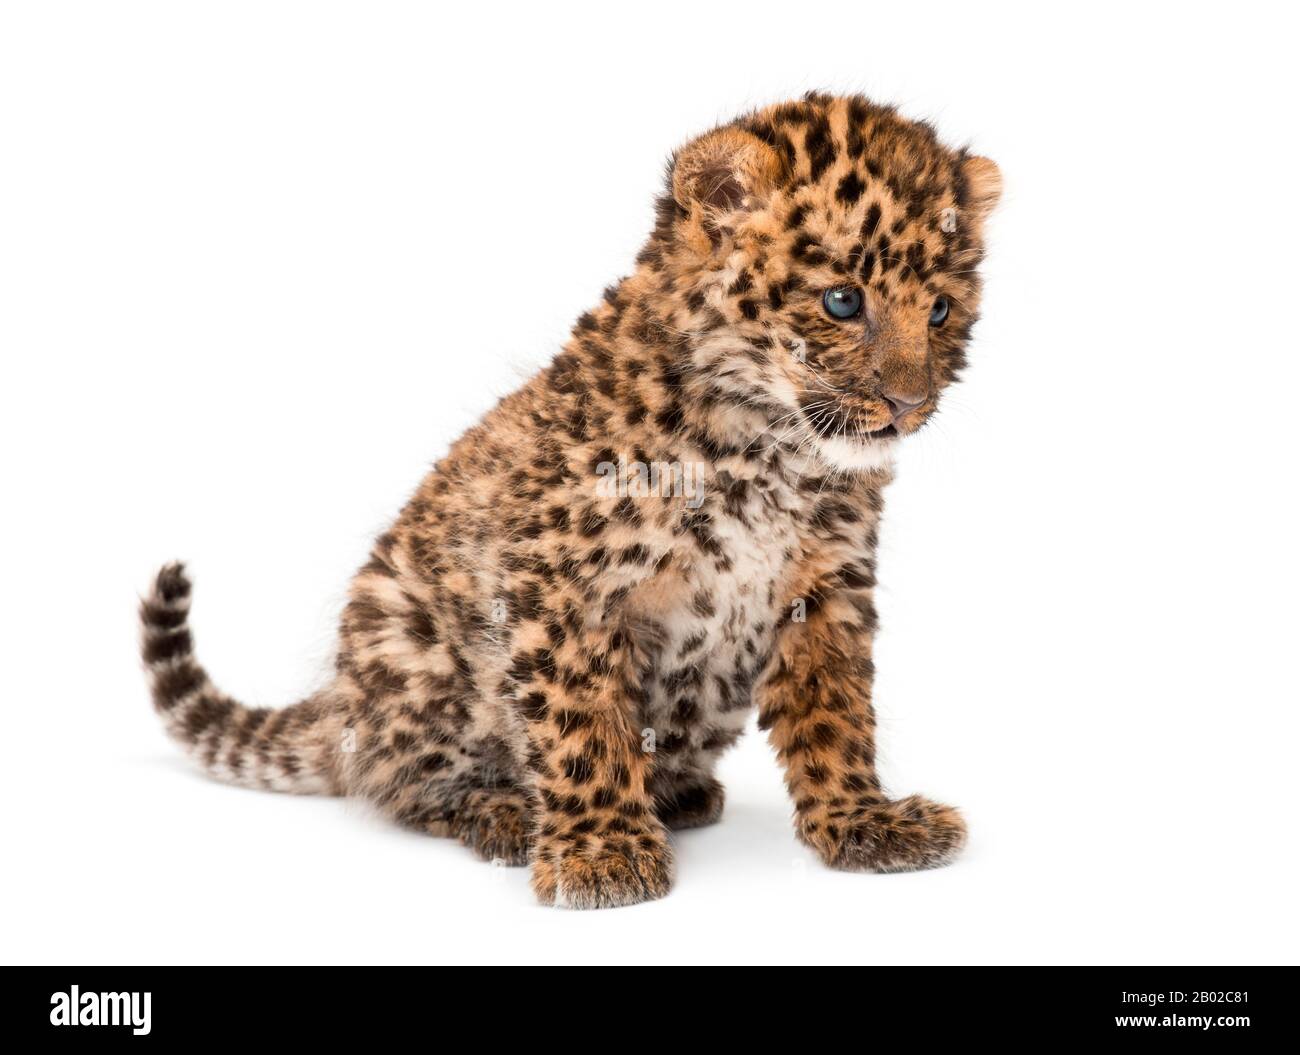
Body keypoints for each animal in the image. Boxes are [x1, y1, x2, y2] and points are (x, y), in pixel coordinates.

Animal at [140, 92, 1001, 909]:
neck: (772, 447)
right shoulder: (562, 581)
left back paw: (677, 794)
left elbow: (836, 715)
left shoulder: (825, 592)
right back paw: (504, 813)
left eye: (940, 311)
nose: (909, 403)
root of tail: (341, 706)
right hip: (406, 646)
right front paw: (601, 850)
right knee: (399, 786)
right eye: (843, 302)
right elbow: (582, 721)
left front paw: (864, 821)